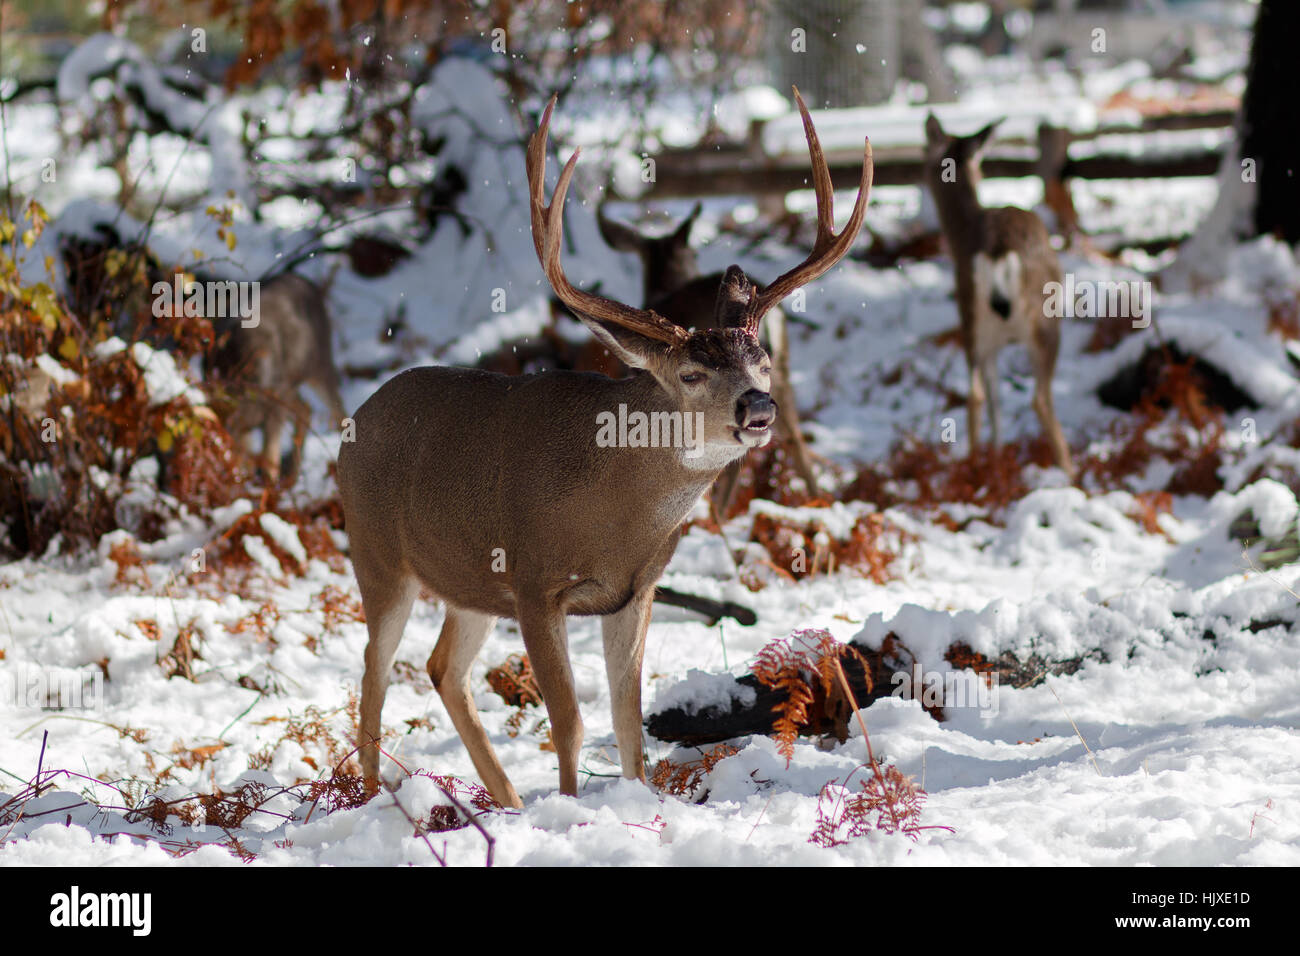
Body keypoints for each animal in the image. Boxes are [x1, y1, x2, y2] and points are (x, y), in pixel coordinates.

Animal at [922, 113, 1074, 478]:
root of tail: (997, 250)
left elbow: (995, 404)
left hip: (972, 322)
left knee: (977, 395)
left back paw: (980, 466)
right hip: (1044, 322)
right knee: (1040, 398)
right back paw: (1070, 473)